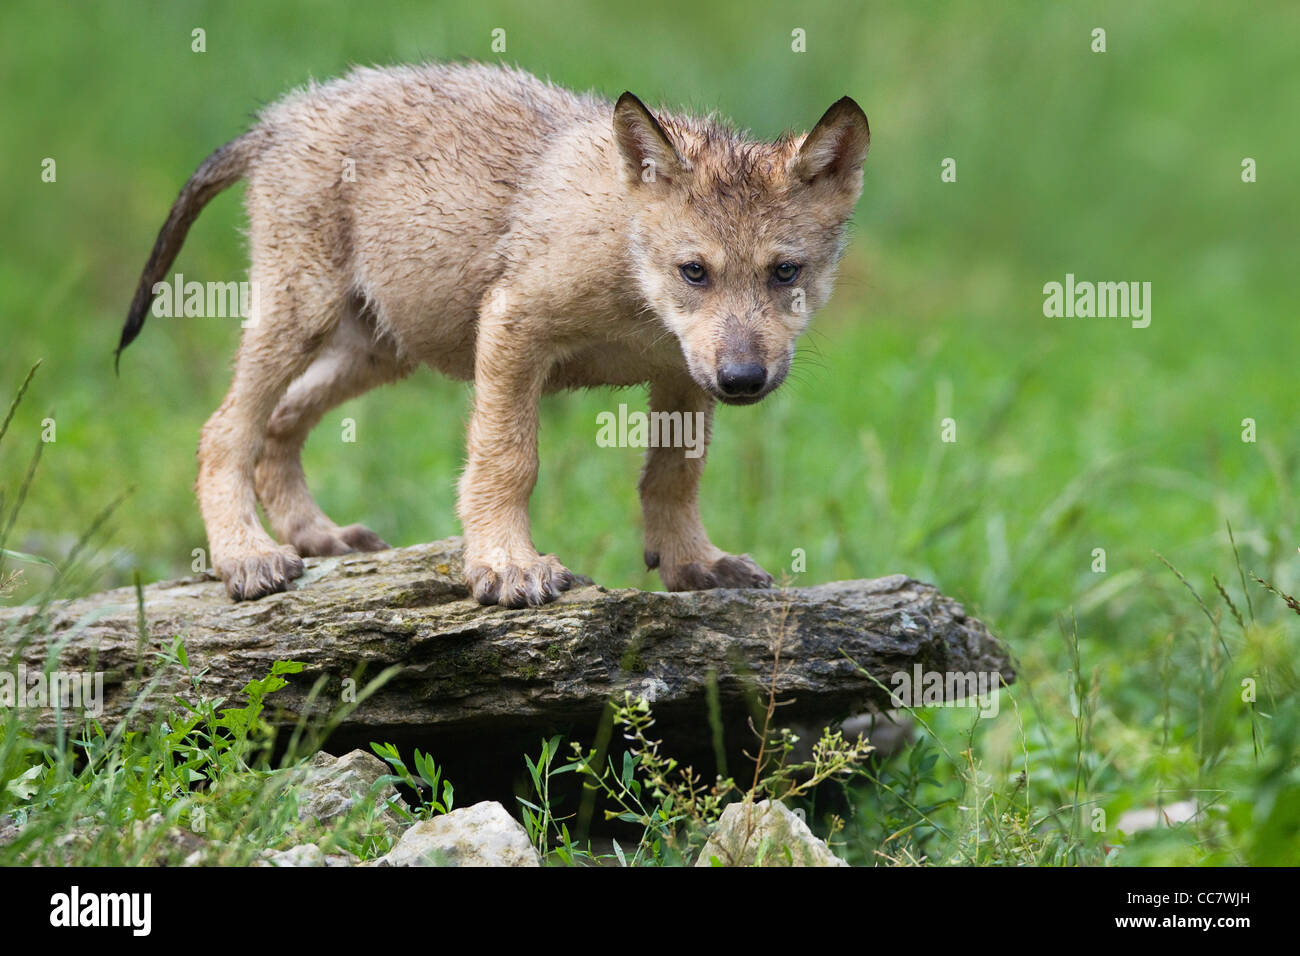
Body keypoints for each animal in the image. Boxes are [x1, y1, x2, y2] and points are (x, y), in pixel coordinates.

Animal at [117, 63, 870, 607]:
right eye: (695, 272)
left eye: (785, 272)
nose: (744, 381)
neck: (635, 285)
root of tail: (279, 117)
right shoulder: (513, 326)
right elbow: (508, 461)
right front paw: (506, 566)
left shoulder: (683, 375)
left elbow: (674, 477)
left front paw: (694, 564)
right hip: (301, 312)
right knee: (224, 430)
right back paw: (245, 556)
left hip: (380, 350)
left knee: (279, 425)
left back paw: (317, 536)